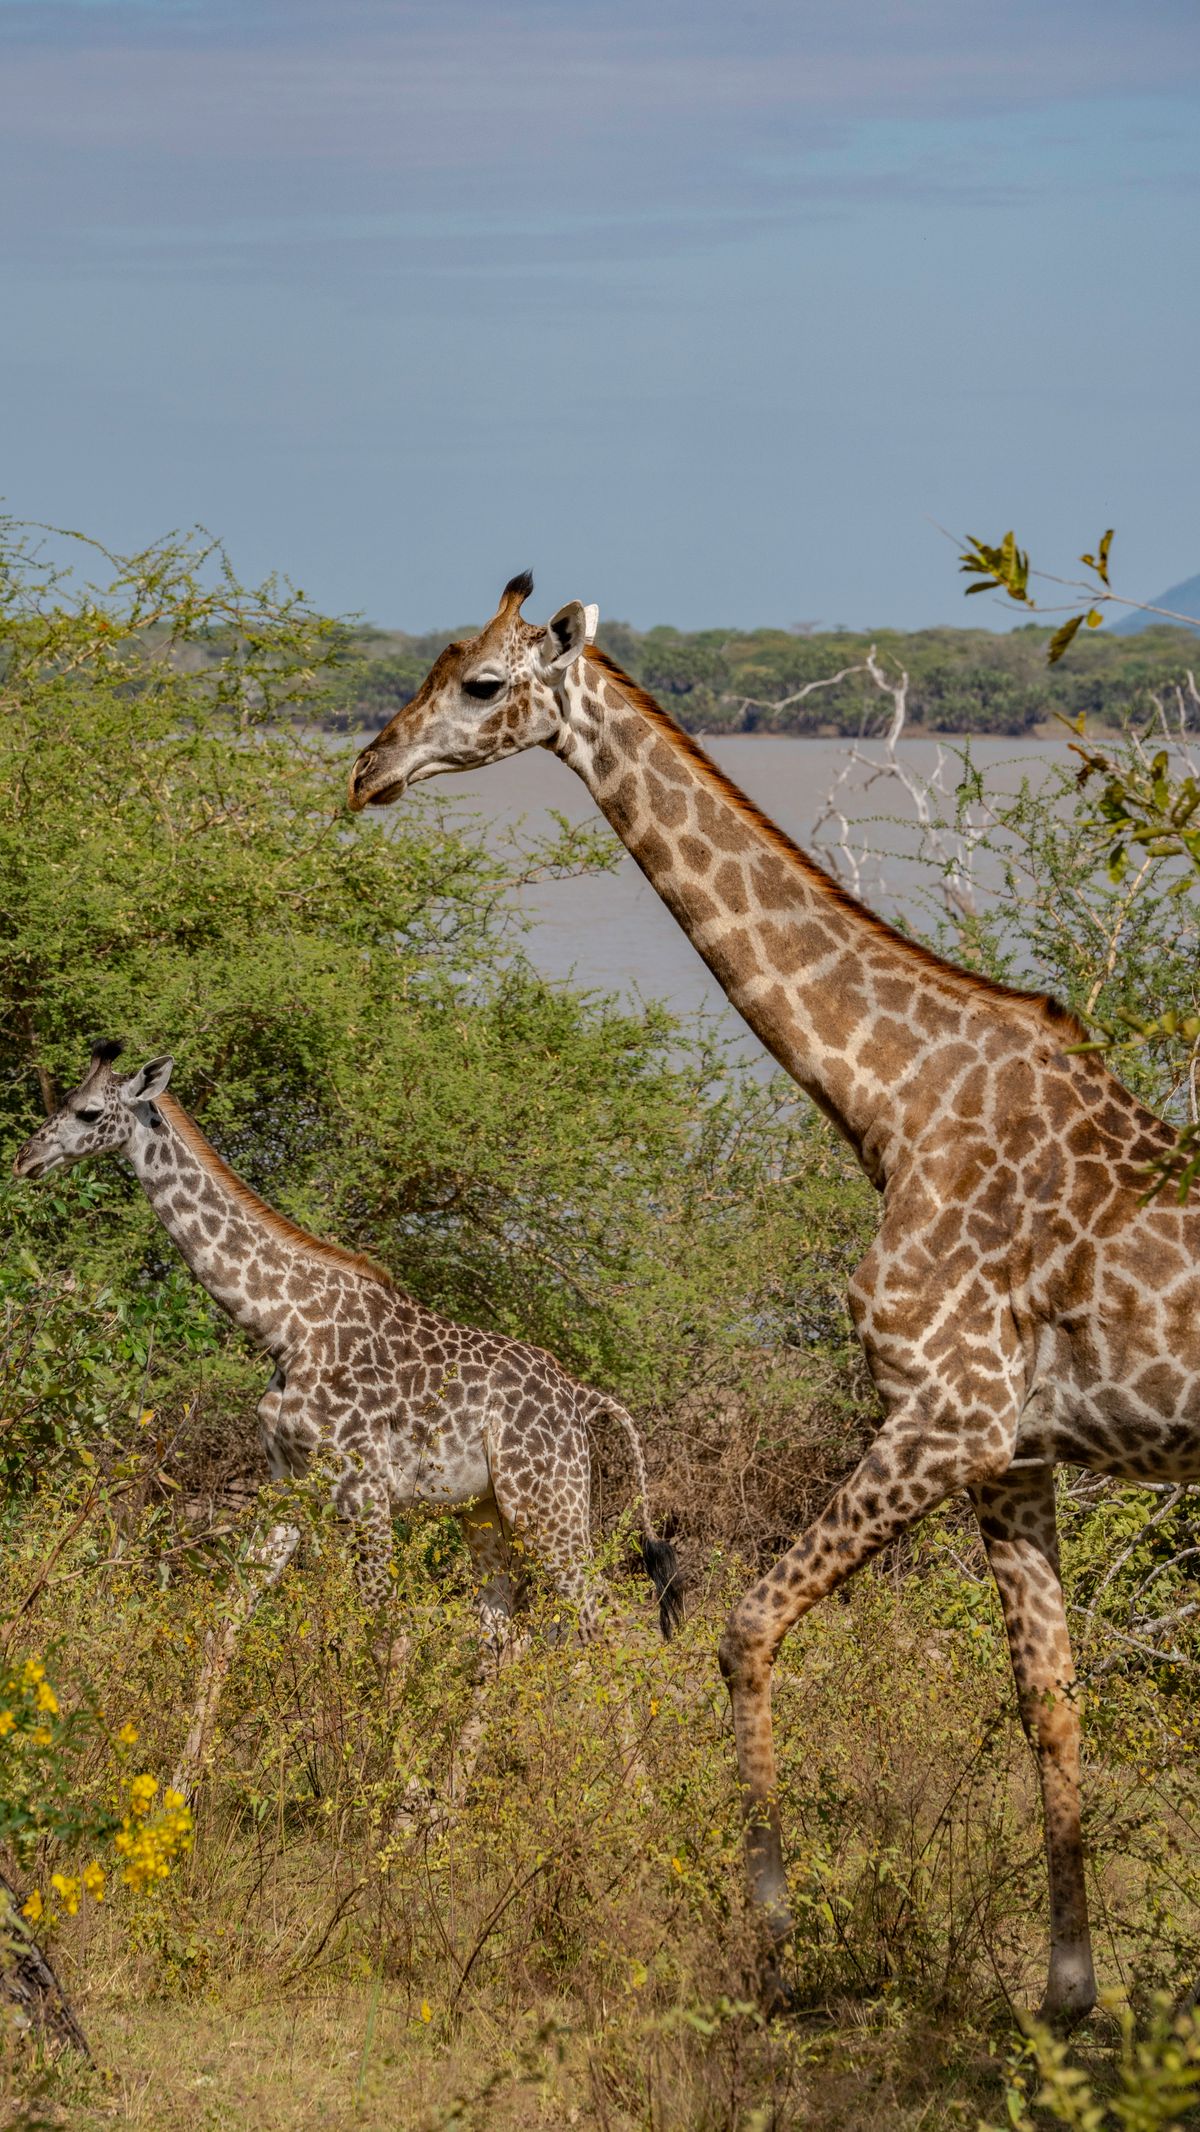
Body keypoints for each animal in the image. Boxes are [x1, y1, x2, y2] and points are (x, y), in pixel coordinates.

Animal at [13, 1043, 683, 1777]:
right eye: (63, 1101)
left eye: (88, 1112)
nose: (24, 1158)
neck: (282, 1325)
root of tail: (584, 1399)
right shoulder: (289, 1485)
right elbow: (227, 1624)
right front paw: (179, 1785)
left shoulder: (365, 1488)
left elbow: (385, 1640)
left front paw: (380, 1786)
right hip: (486, 1511)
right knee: (504, 1635)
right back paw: (444, 1803)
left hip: (549, 1505)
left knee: (602, 1624)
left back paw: (636, 1797)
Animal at [347, 571, 1200, 2023]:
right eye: (432, 662)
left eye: (480, 684)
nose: (366, 767)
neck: (894, 1105)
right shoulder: (1011, 1449)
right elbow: (1051, 1695)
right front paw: (1068, 1993)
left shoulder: (945, 1413)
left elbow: (743, 1626)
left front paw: (773, 1933)